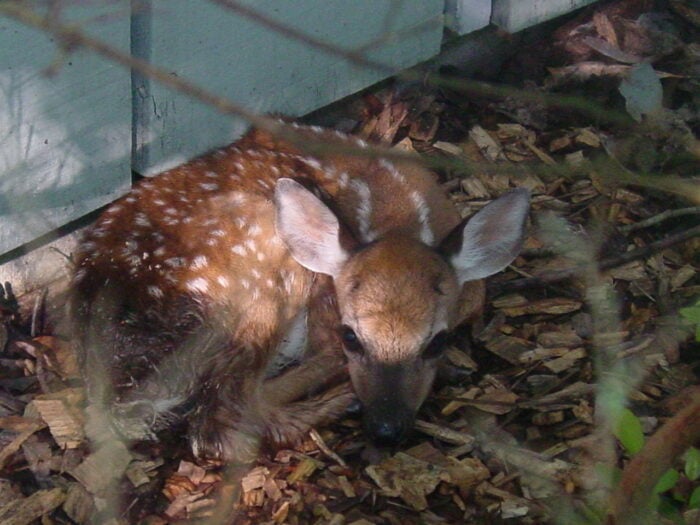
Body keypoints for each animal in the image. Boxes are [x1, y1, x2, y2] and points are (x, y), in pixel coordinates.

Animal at [70, 122, 530, 463]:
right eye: (352, 337)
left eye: (437, 341)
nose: (386, 429)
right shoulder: (325, 291)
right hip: (261, 263)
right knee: (223, 418)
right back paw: (339, 400)